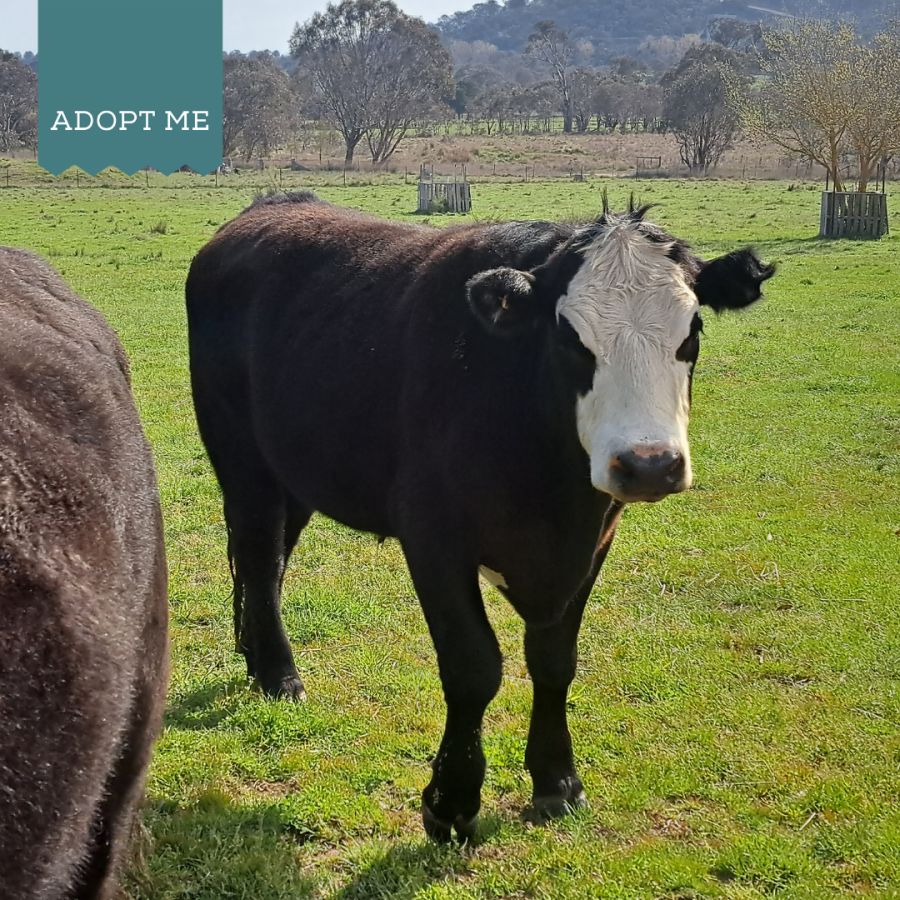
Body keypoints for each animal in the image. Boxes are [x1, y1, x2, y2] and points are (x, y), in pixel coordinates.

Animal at [186, 193, 774, 841]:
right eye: (571, 338)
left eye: (691, 332)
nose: (649, 465)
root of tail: (267, 207)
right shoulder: (434, 538)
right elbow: (474, 667)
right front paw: (451, 801)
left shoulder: (592, 541)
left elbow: (554, 660)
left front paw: (557, 781)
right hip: (243, 461)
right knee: (260, 556)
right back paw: (279, 675)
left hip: (296, 470)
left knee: (268, 562)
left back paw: (256, 657)